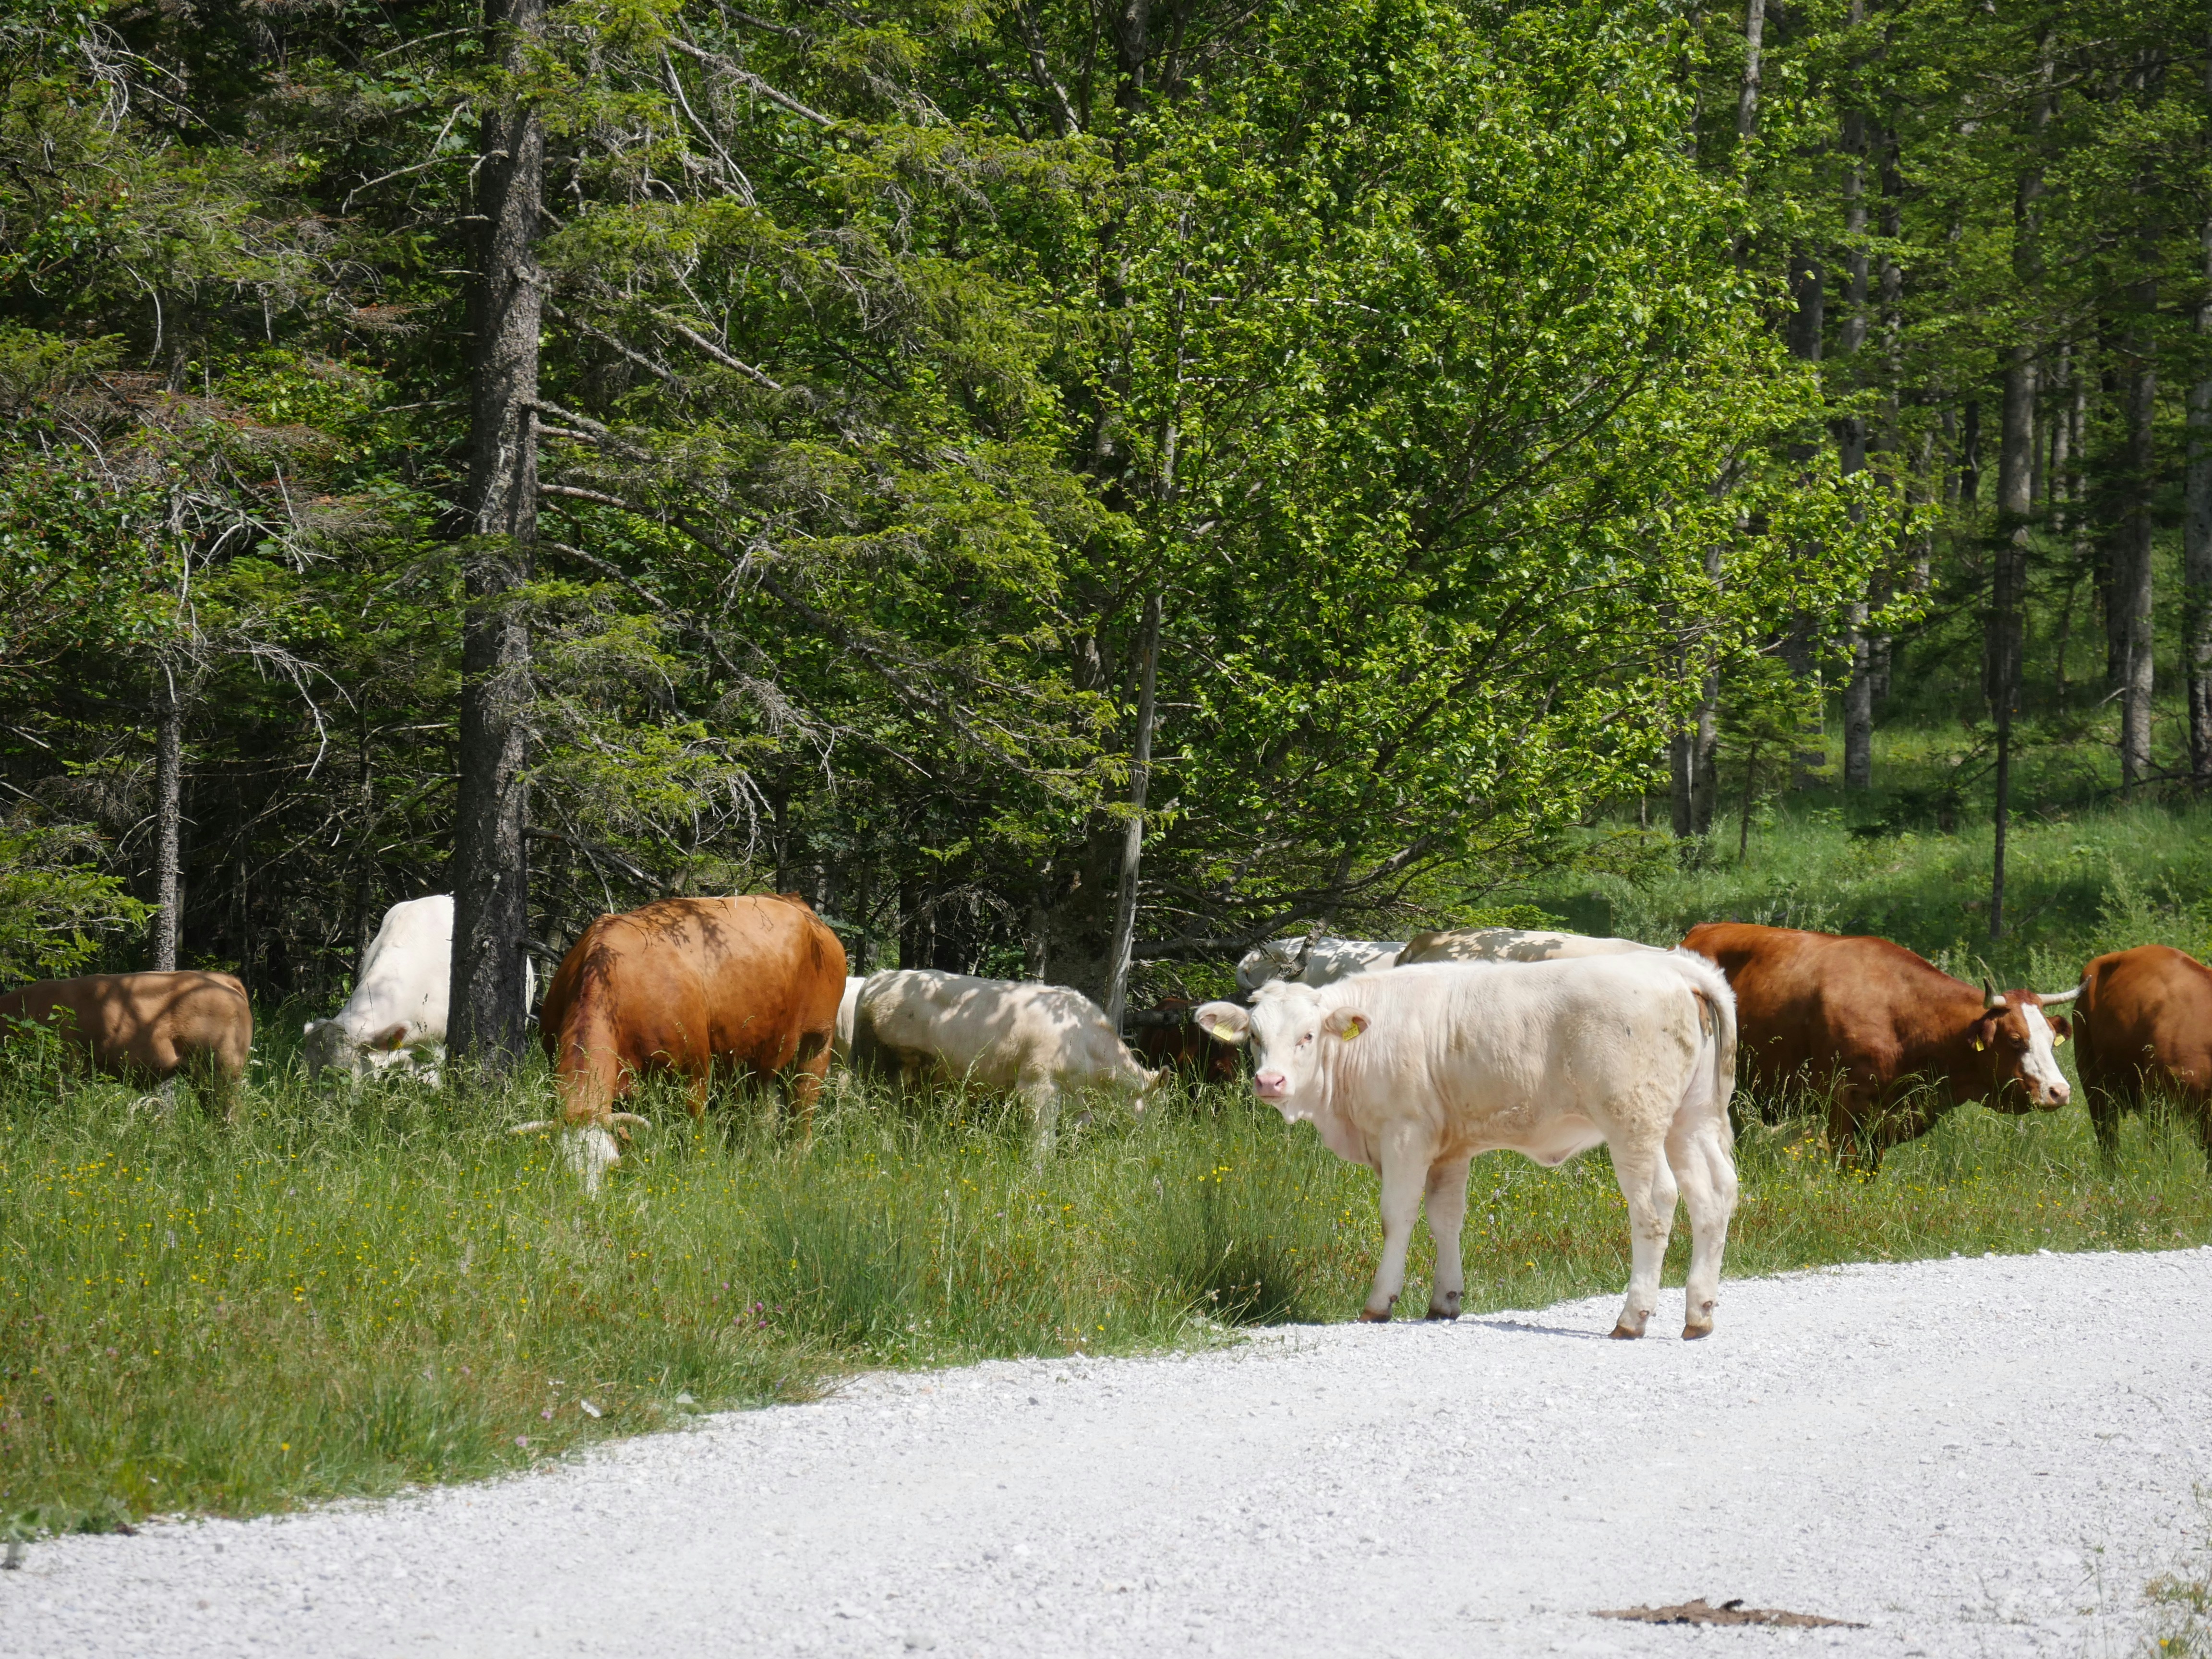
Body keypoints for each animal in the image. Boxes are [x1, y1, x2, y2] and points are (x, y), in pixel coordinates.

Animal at [510, 894, 847, 1190]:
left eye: (612, 1166)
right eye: (561, 1170)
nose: (588, 1205)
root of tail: (797, 904)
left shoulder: (693, 1075)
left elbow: (693, 1138)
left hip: (815, 1048)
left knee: (801, 1118)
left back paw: (794, 1166)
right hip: (752, 1063)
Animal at [850, 969, 1163, 1145]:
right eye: (1151, 1112)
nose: (1152, 1147)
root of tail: (883, 976)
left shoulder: (1077, 1104)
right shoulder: (1037, 1086)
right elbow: (1042, 1144)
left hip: (918, 1085)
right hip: (880, 1071)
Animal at [1195, 952, 1738, 1339]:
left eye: (1307, 1036)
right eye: (1255, 1037)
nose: (1270, 1082)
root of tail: (1673, 963)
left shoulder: (1405, 1134)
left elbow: (1397, 1217)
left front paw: (1379, 1303)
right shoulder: (1450, 1150)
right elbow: (1446, 1219)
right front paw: (1445, 1300)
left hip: (1635, 1123)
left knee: (1655, 1203)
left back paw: (1632, 1317)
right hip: (1692, 1121)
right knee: (1714, 1196)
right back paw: (1700, 1314)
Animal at [1679, 922, 2075, 1169]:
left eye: (2050, 1041)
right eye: (2015, 1040)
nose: (2060, 1092)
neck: (1899, 1013)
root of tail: (1699, 932)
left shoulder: (1883, 1119)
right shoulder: (1839, 1103)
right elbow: (1848, 1167)